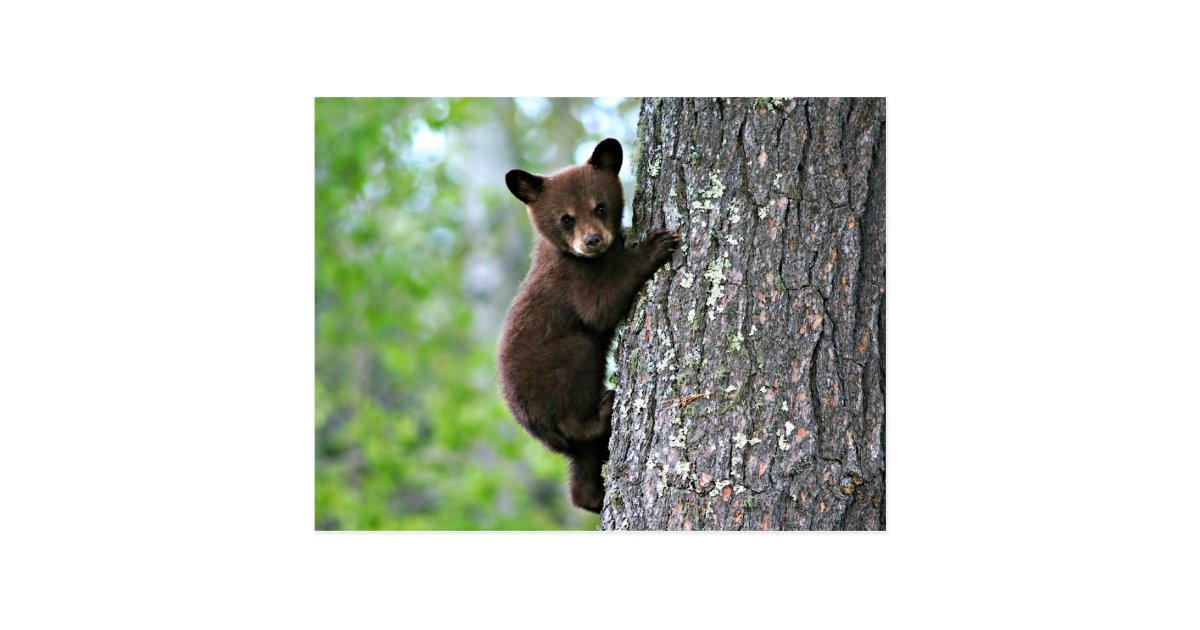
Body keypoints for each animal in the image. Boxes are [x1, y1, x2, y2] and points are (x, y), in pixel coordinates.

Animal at [497, 138, 679, 513]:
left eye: (600, 207)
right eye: (566, 218)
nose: (592, 240)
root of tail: (533, 427)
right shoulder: (572, 280)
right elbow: (600, 307)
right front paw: (654, 246)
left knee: (582, 469)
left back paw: (593, 497)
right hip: (558, 371)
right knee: (576, 395)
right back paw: (602, 409)